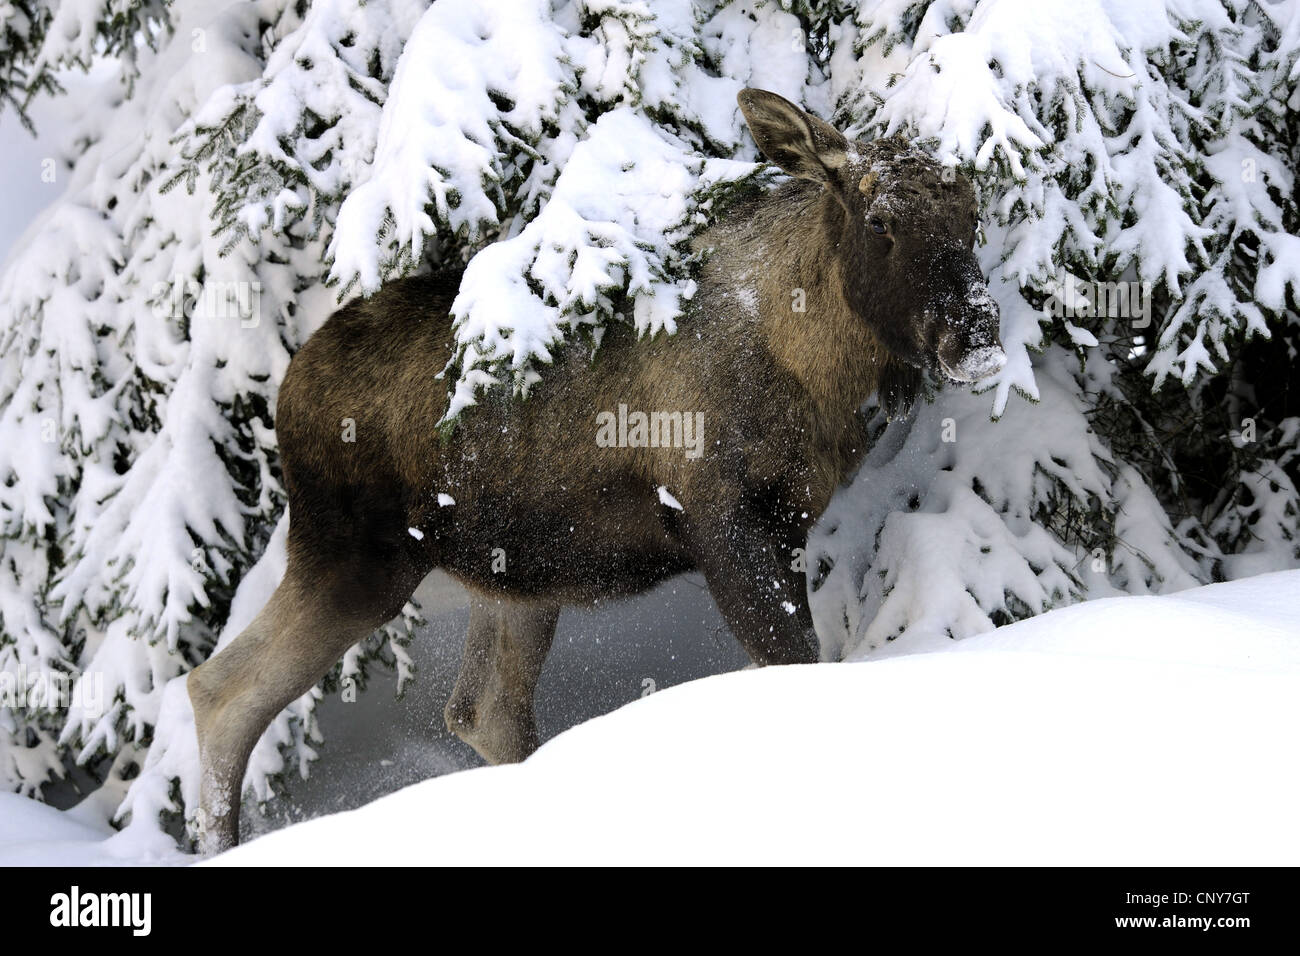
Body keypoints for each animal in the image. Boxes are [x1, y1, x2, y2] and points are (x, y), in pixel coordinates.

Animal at [186, 88, 1006, 852]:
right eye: (879, 221)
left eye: (972, 214)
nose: (978, 337)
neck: (813, 369)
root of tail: (287, 390)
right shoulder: (723, 518)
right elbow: (793, 661)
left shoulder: (790, 520)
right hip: (355, 556)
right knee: (222, 691)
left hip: (511, 574)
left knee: (481, 711)